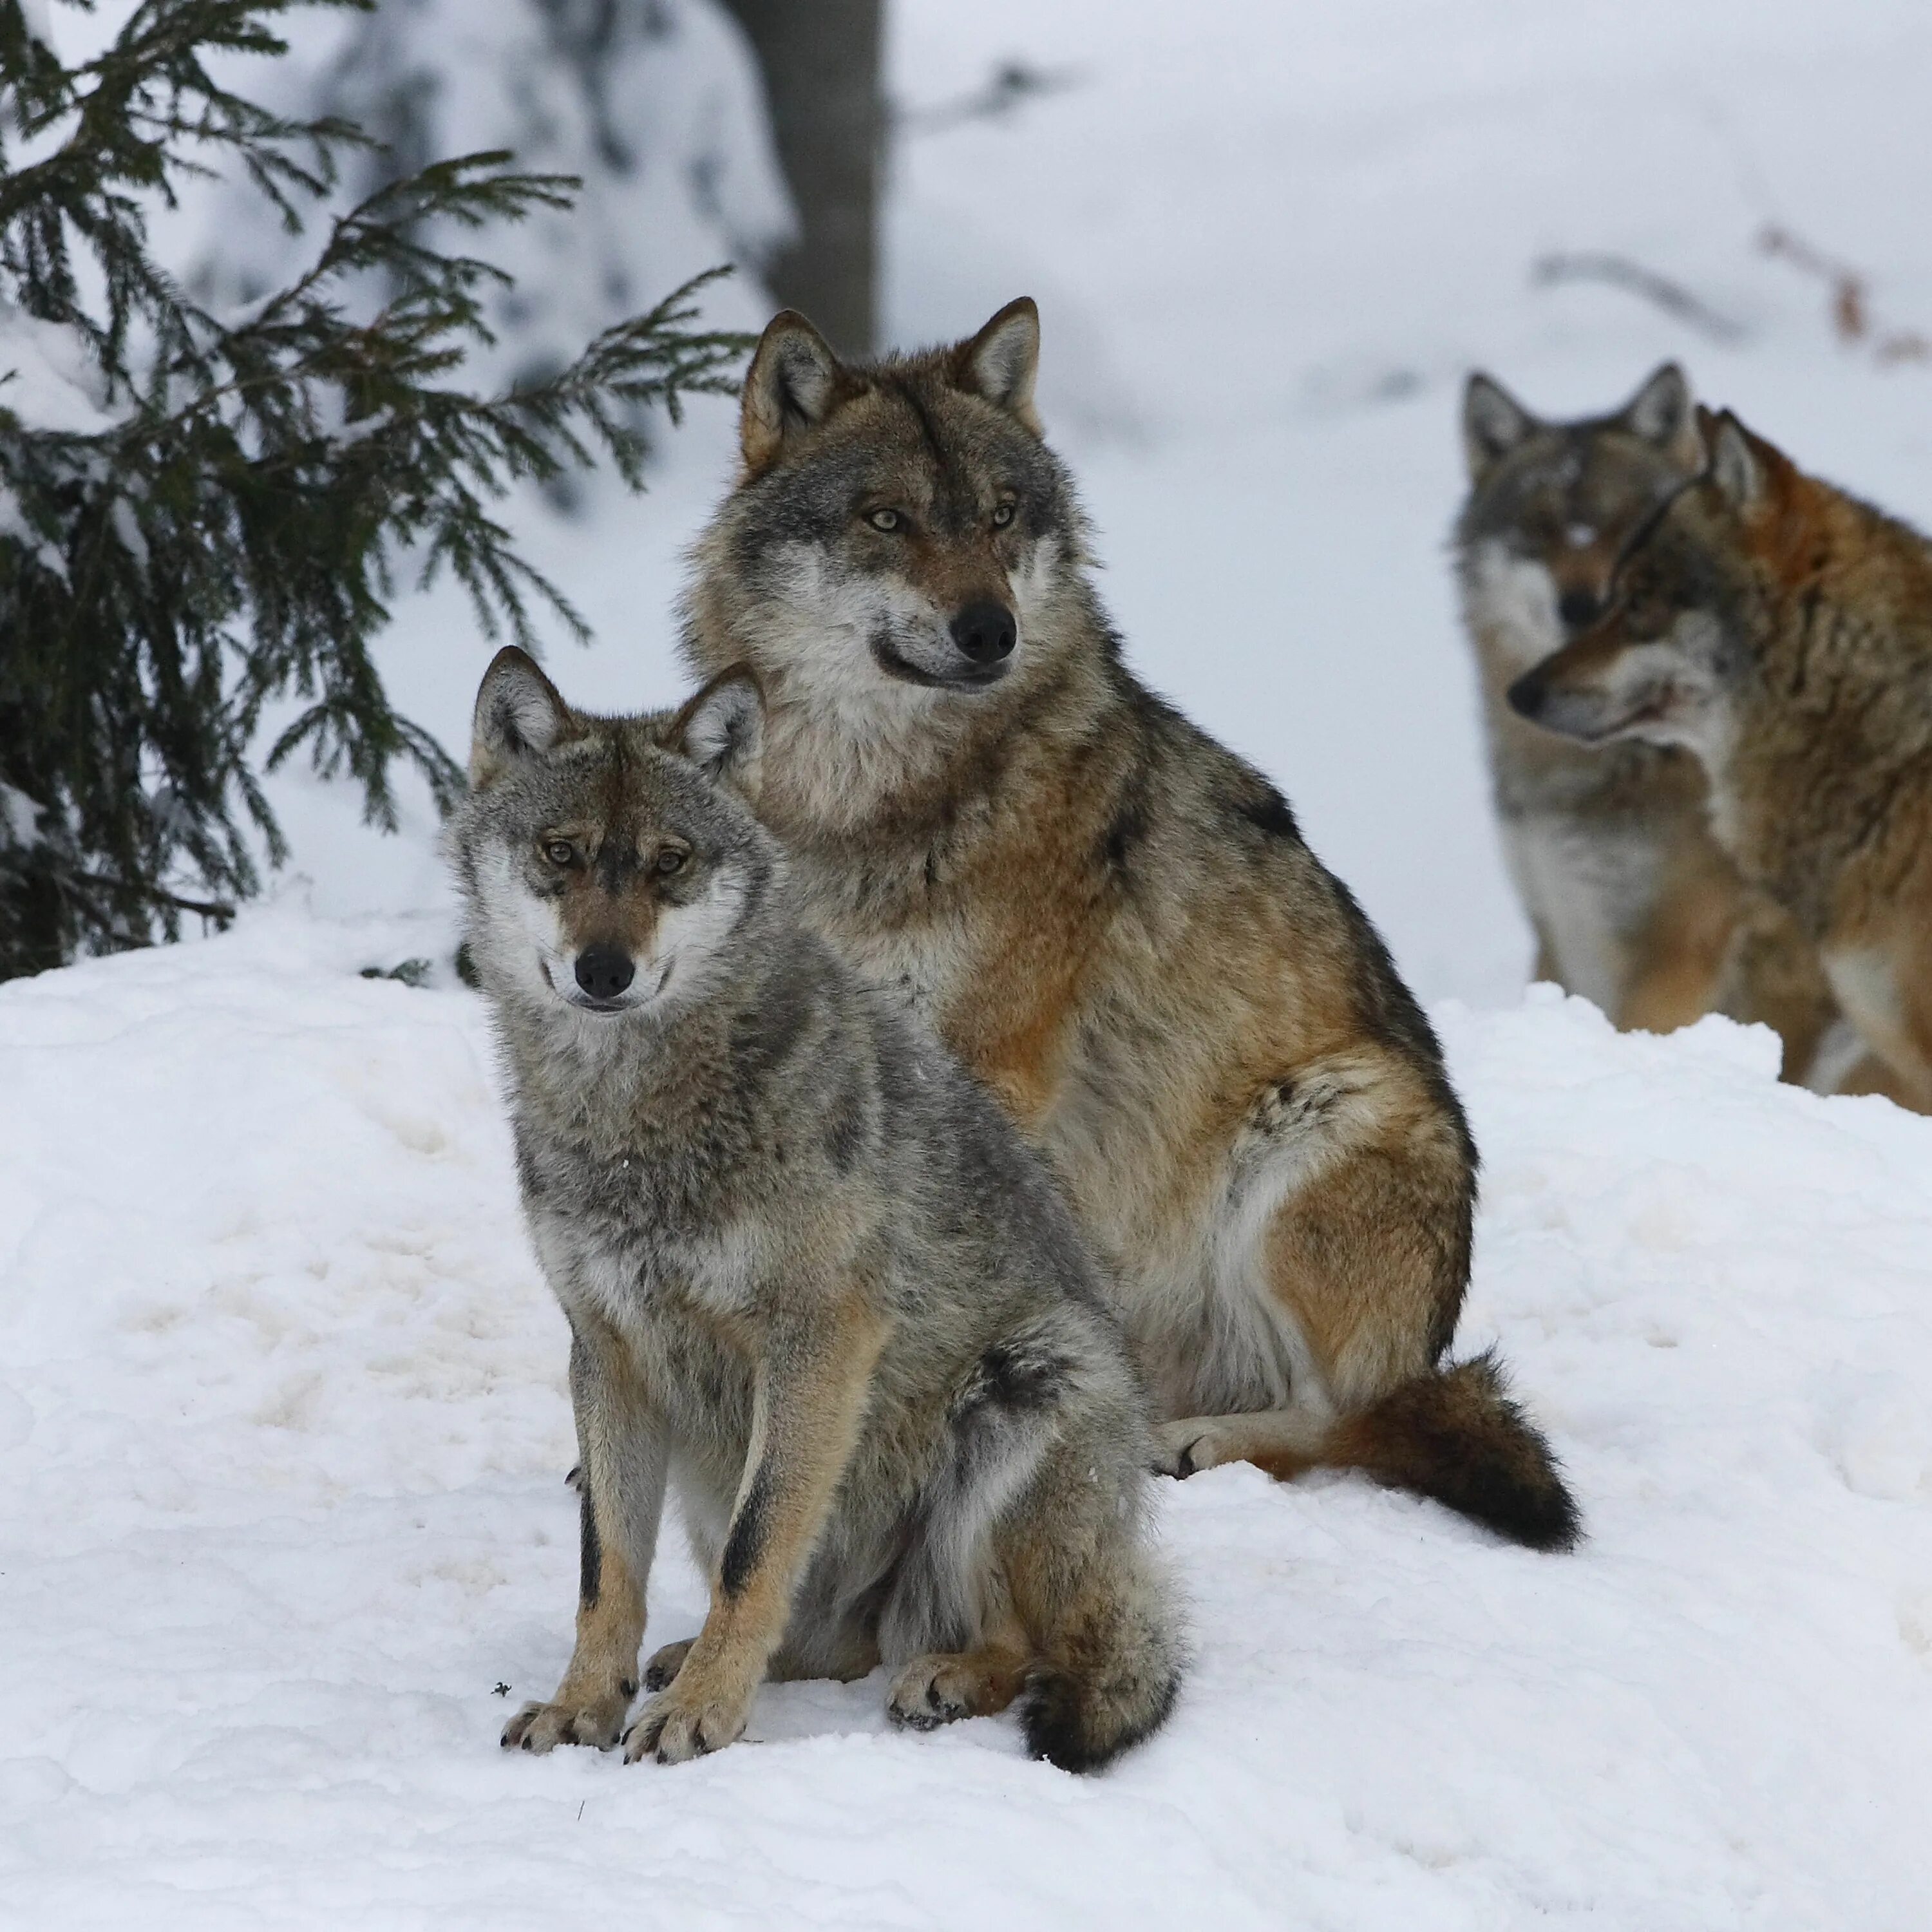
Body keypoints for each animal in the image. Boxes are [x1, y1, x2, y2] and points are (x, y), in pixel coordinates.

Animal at [448, 657, 1175, 1770]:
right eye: (560, 854)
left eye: (670, 863)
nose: (603, 971)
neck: (636, 1125)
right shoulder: (606, 1351)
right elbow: (605, 1573)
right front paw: (584, 1707)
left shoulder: (819, 1338)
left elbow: (756, 1554)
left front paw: (699, 1718)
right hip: (712, 1473)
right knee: (828, 1641)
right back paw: (700, 1663)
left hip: (1030, 1382)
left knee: (1022, 1642)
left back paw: (943, 1678)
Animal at [680, 294, 1584, 1546]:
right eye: (887, 520)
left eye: (1001, 516)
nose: (991, 631)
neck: (865, 803)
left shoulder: (992, 1066)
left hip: (1323, 1123)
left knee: (1353, 1423)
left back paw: (1191, 1443)